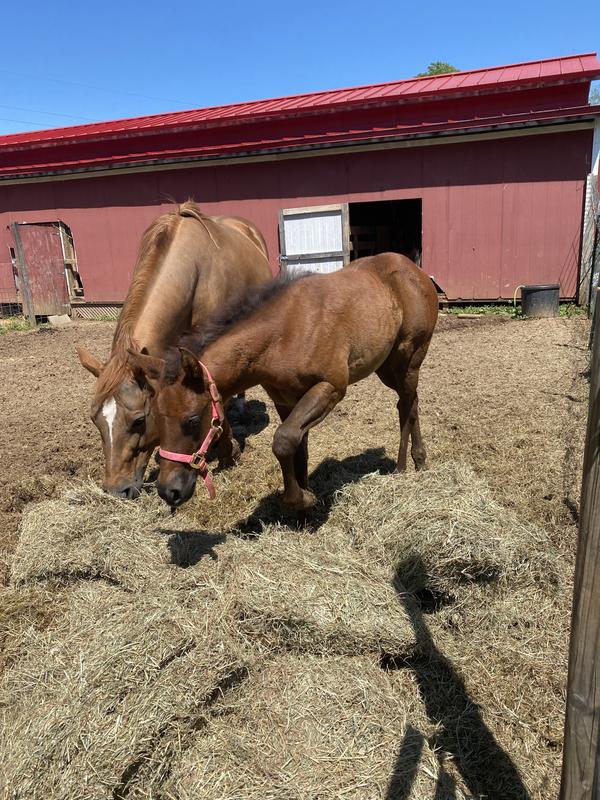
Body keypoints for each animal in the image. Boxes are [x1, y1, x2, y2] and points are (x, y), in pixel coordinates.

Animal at [127, 252, 438, 511]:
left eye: (192, 420)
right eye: (152, 418)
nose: (168, 491)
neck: (283, 334)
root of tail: (416, 270)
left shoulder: (330, 388)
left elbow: (283, 440)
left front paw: (301, 500)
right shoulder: (285, 400)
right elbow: (297, 447)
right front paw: (305, 502)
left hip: (409, 358)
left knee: (408, 403)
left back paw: (409, 464)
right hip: (386, 367)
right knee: (408, 402)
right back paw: (411, 462)